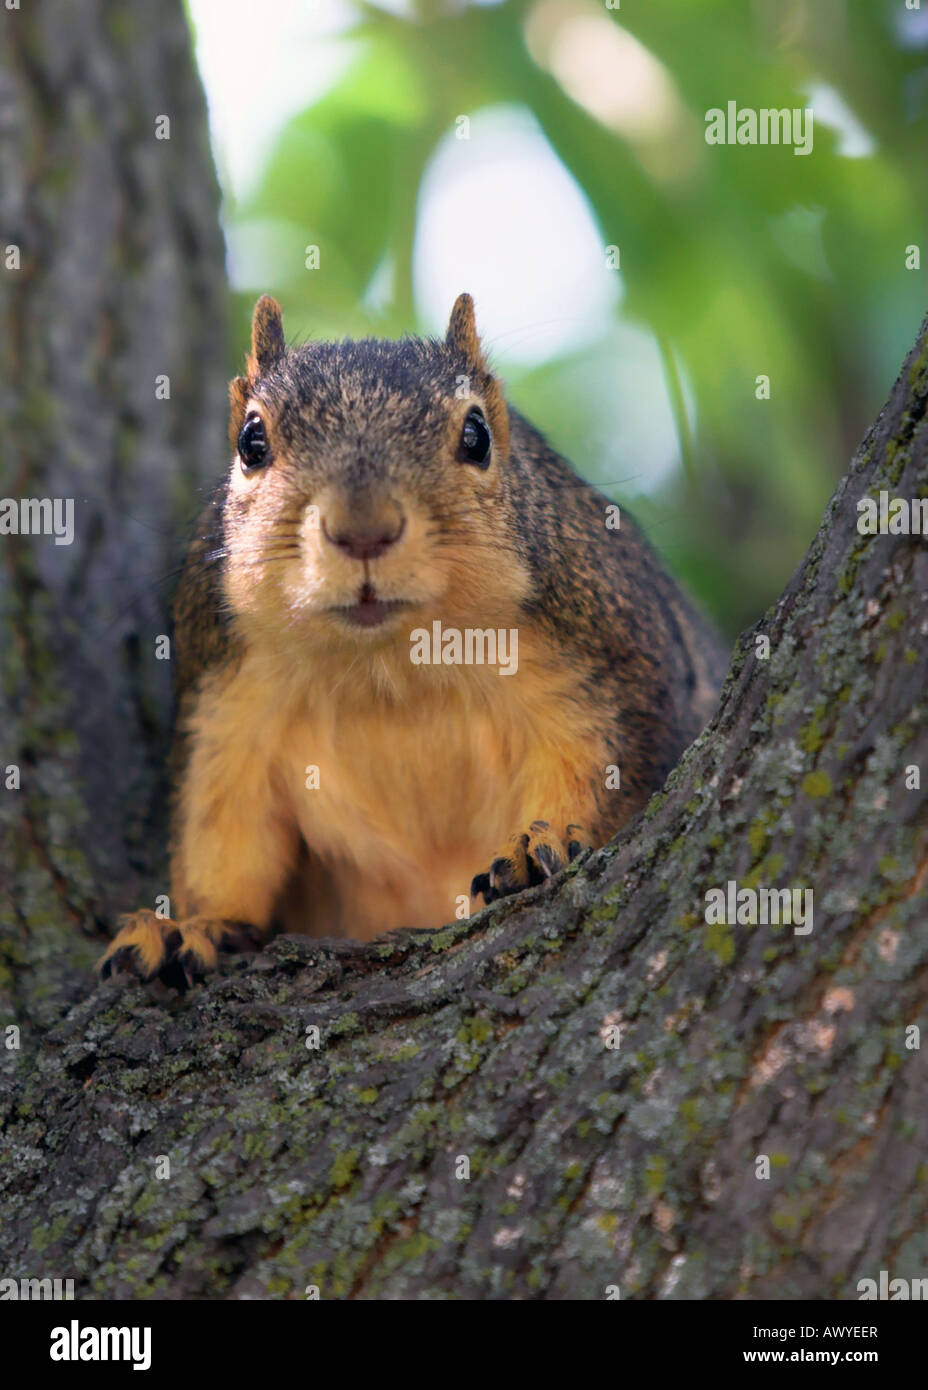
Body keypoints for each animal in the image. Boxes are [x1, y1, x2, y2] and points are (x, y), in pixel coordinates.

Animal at [99, 293, 727, 984]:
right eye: (250, 442)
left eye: (477, 435)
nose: (363, 531)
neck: (391, 664)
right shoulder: (226, 705)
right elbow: (224, 833)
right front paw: (194, 926)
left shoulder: (612, 665)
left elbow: (597, 772)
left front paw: (544, 844)